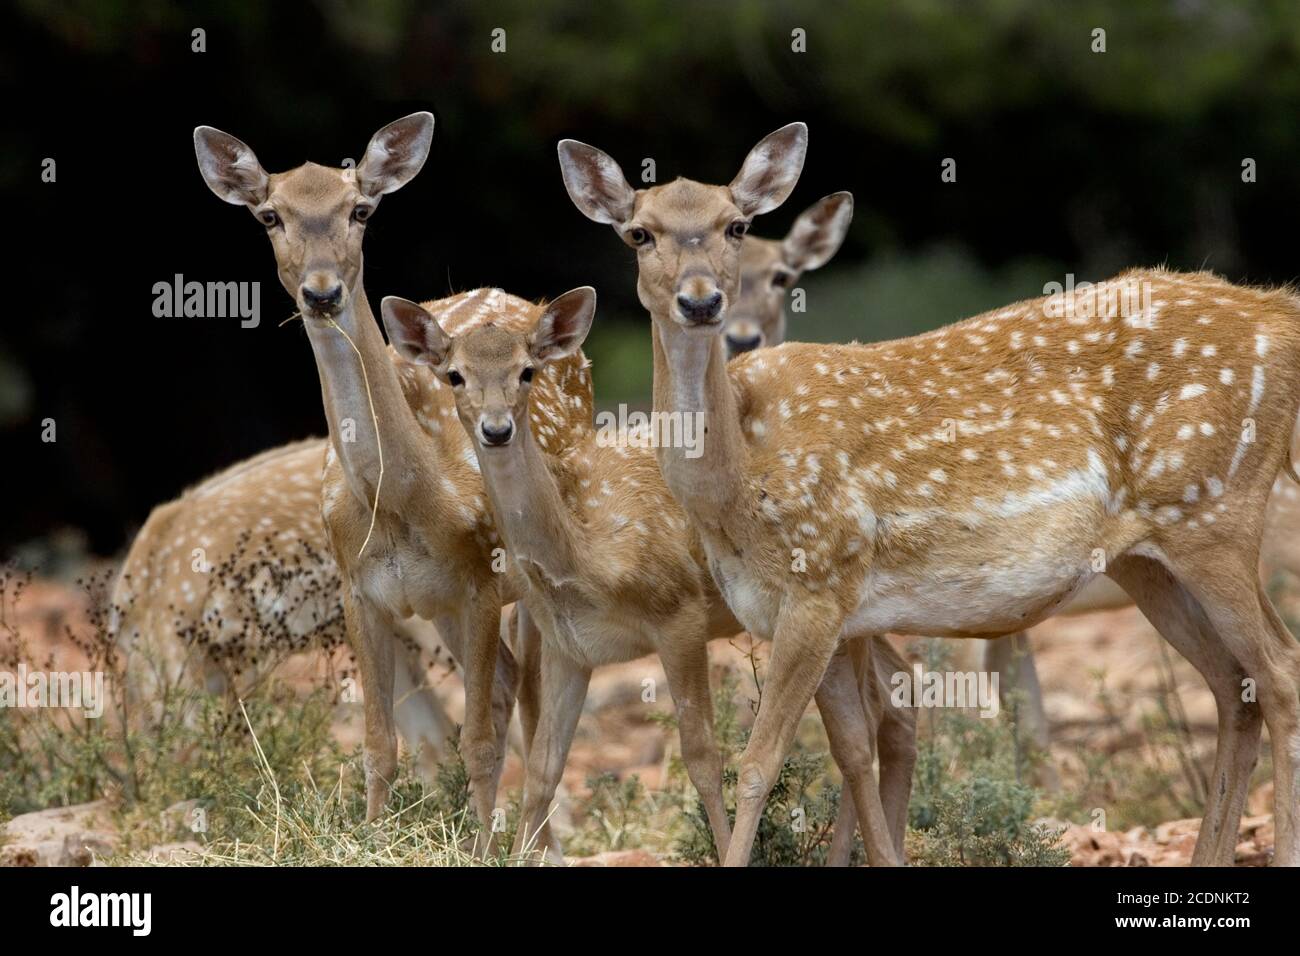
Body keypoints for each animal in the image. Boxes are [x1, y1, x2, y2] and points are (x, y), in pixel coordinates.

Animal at [193, 114, 594, 838]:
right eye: (270, 215)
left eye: (361, 209)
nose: (322, 291)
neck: (404, 500)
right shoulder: (362, 590)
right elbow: (380, 743)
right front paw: (374, 833)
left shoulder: (480, 583)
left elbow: (480, 738)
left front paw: (481, 845)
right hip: (440, 612)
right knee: (507, 687)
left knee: (527, 699)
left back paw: (540, 838)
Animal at [380, 286, 918, 864]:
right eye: (454, 375)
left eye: (527, 371)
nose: (497, 429)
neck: (584, 551)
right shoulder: (569, 645)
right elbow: (545, 767)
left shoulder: (678, 610)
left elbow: (701, 753)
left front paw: (727, 848)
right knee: (888, 701)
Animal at [558, 122, 1300, 867]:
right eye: (639, 233)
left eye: (735, 225)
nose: (703, 301)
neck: (736, 487)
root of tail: (1280, 315)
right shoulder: (818, 610)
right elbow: (851, 751)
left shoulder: (819, 580)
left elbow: (761, 763)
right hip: (1146, 559)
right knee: (1234, 688)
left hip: (1216, 511)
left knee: (1280, 671)